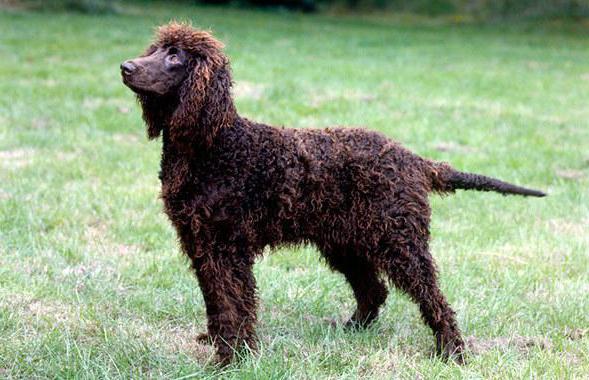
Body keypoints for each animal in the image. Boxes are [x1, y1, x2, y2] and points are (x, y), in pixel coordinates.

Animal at [119, 21, 544, 366]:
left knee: (432, 298)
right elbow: (215, 301)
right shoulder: (199, 242)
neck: (214, 144)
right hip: (346, 241)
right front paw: (219, 343)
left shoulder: (227, 246)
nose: (125, 67)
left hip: (400, 241)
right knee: (374, 290)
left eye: (175, 56)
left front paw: (232, 358)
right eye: (155, 49)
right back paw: (352, 329)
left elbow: (232, 303)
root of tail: (414, 159)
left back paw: (453, 352)